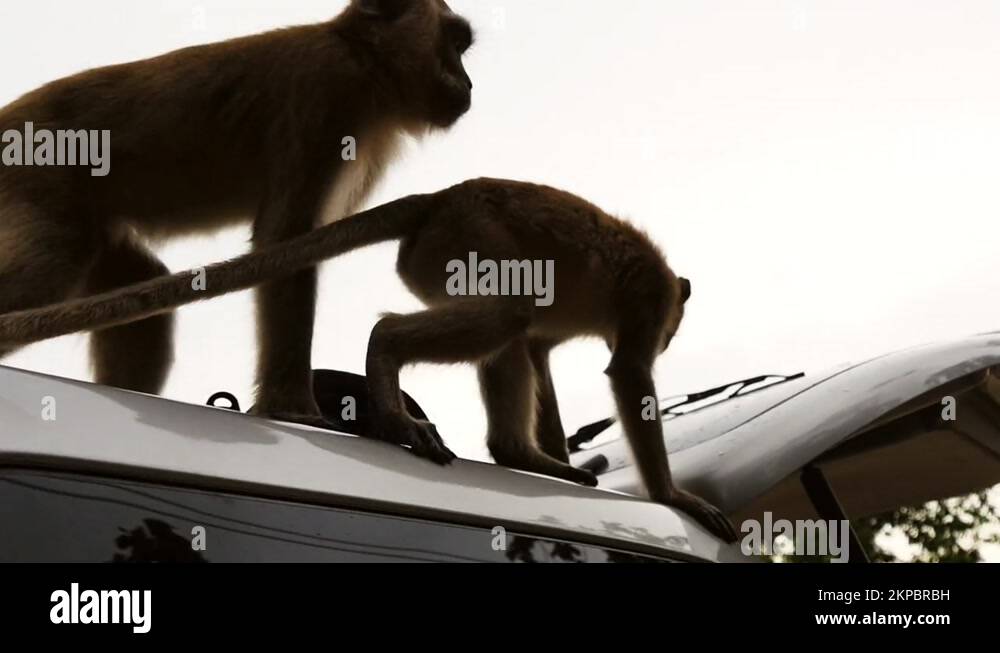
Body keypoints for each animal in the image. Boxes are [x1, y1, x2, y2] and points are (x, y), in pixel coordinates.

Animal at [0, 0, 475, 428]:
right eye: (453, 43)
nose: (468, 83)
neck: (364, 60)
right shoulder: (325, 93)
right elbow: (285, 241)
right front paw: (292, 406)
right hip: (35, 175)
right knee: (53, 264)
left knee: (137, 294)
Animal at [0, 178, 738, 542]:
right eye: (669, 328)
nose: (671, 338)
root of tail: (438, 202)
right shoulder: (644, 297)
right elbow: (624, 371)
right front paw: (673, 497)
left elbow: (535, 348)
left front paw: (558, 458)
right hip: (466, 238)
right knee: (505, 313)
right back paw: (386, 362)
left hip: (444, 250)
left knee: (512, 326)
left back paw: (520, 455)